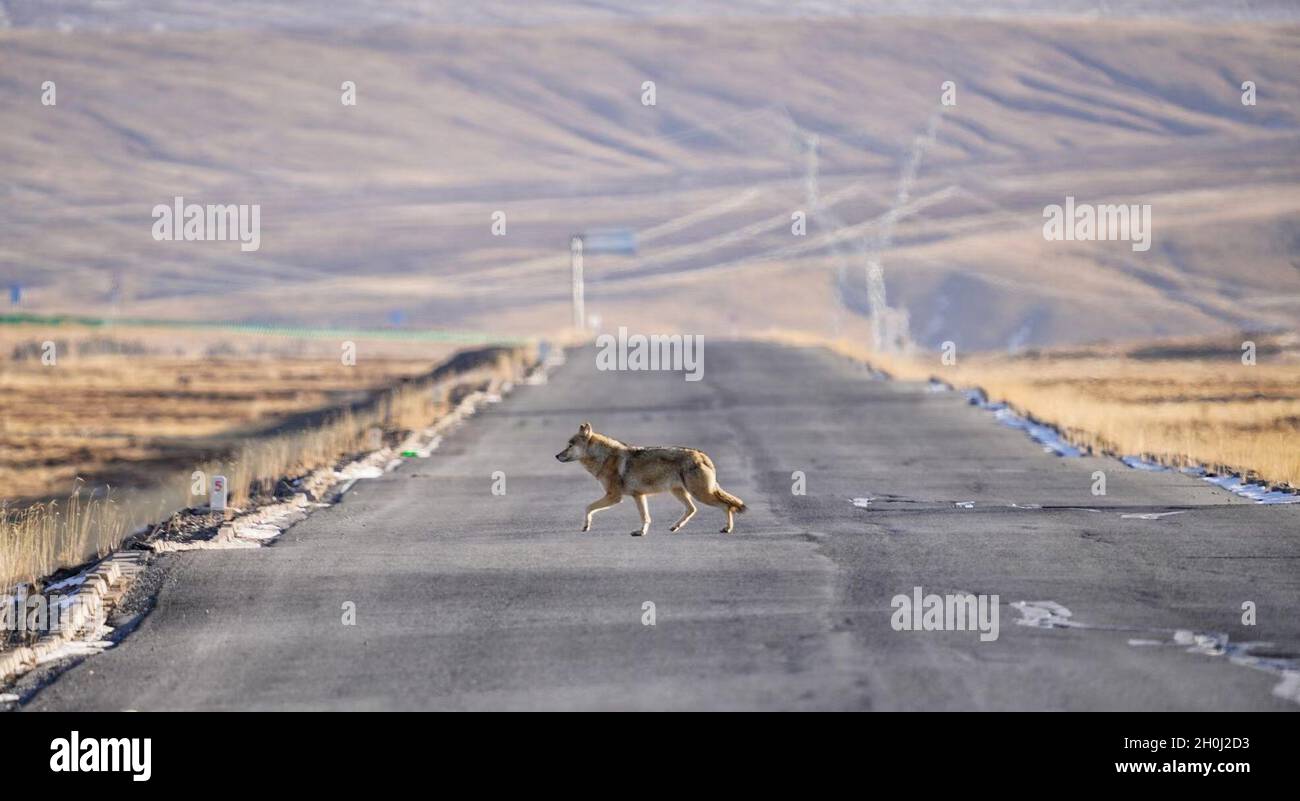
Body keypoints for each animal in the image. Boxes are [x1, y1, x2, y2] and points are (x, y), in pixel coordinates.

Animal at [555, 422, 747, 536]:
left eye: (570, 445)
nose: (556, 456)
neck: (603, 457)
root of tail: (703, 455)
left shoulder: (614, 497)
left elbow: (587, 507)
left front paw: (586, 526)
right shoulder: (639, 496)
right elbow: (645, 517)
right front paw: (641, 532)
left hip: (700, 494)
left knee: (726, 506)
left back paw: (727, 529)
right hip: (680, 493)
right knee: (693, 509)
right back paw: (675, 527)